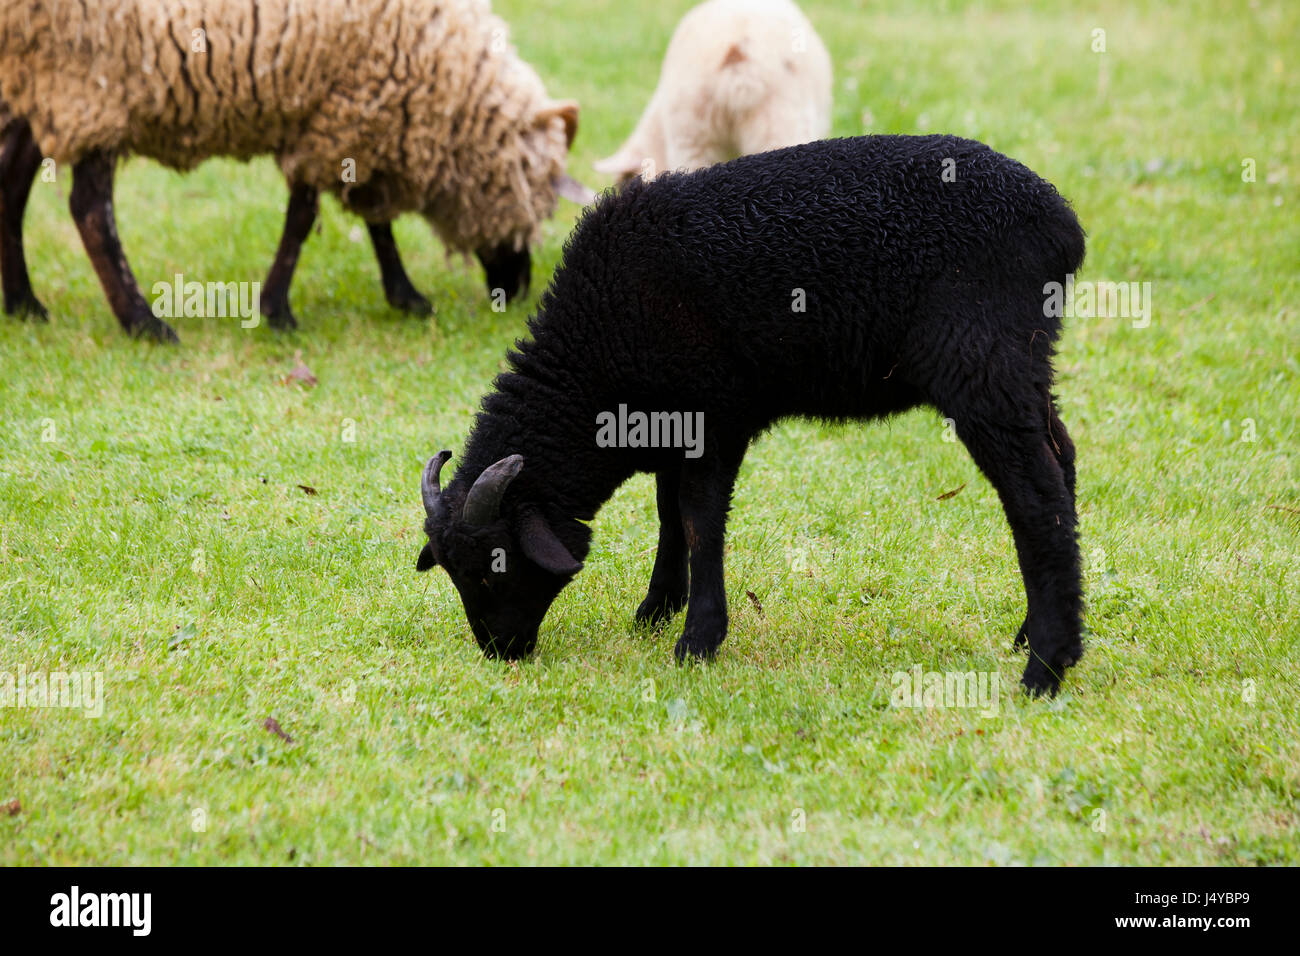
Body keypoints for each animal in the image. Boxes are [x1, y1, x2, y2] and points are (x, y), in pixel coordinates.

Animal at [0, 0, 589, 342]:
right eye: (535, 206)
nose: (516, 289)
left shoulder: (353, 117)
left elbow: (373, 219)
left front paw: (405, 294)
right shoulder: (336, 114)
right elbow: (305, 217)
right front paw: (278, 311)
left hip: (39, 79)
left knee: (13, 181)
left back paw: (25, 304)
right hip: (90, 79)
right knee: (89, 209)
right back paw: (142, 321)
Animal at [415, 135, 1088, 696]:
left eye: (492, 567)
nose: (500, 651)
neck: (597, 351)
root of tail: (1062, 224)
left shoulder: (716, 420)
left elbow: (699, 520)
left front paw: (698, 640)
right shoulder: (672, 421)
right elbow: (669, 513)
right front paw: (655, 612)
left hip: (983, 364)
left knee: (1035, 496)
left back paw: (1047, 667)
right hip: (1023, 364)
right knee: (1064, 457)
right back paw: (1035, 633)